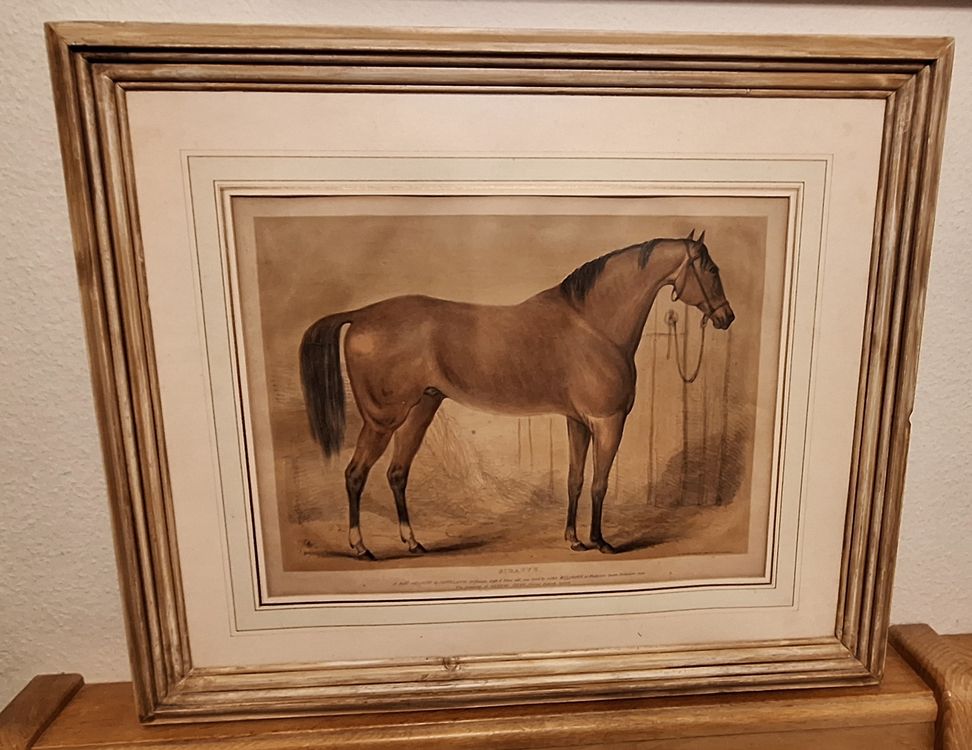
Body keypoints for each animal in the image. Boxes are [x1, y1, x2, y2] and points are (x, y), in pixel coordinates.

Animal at [299, 229, 734, 560]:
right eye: (711, 269)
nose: (727, 317)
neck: (593, 323)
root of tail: (362, 314)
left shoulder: (577, 421)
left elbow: (576, 480)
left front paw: (574, 540)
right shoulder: (607, 422)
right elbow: (599, 483)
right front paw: (601, 541)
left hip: (420, 409)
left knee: (396, 474)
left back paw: (413, 543)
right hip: (383, 419)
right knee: (355, 475)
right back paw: (361, 547)